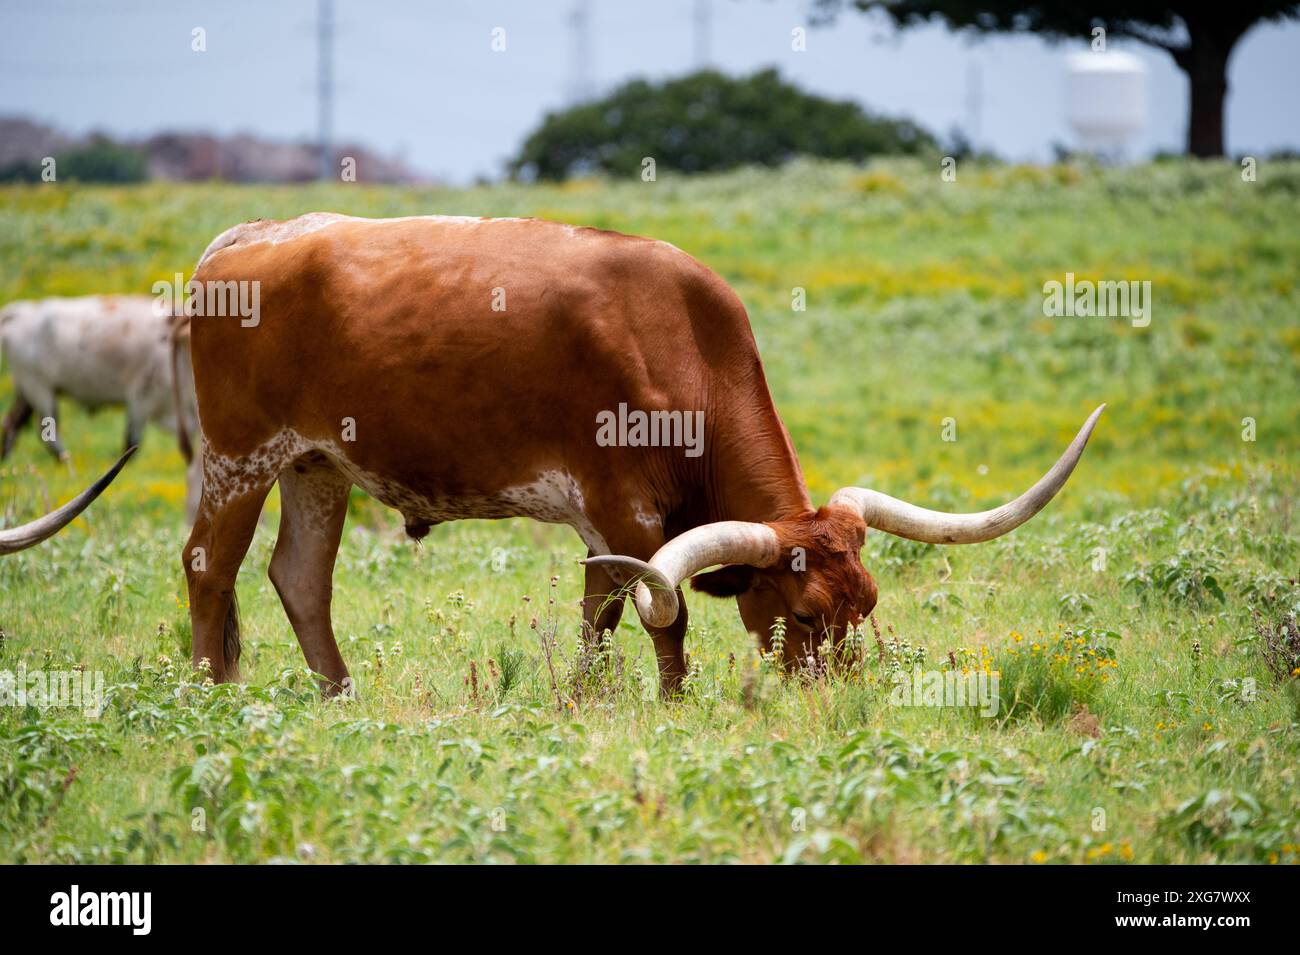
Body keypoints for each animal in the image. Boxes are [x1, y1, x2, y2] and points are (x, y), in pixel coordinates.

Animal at [0, 295, 199, 467]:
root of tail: (20, 311)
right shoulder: (141, 399)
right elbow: (131, 441)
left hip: (26, 392)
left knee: (11, 424)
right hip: (39, 389)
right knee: (48, 435)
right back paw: (68, 464)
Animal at [181, 212, 1103, 696]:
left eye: (867, 604)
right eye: (806, 614)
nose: (843, 703)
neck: (686, 350)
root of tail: (247, 236)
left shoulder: (608, 525)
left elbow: (604, 610)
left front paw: (587, 697)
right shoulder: (622, 506)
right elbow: (666, 609)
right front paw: (671, 698)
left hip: (314, 465)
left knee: (300, 577)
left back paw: (340, 694)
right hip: (239, 455)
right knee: (206, 565)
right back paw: (209, 692)